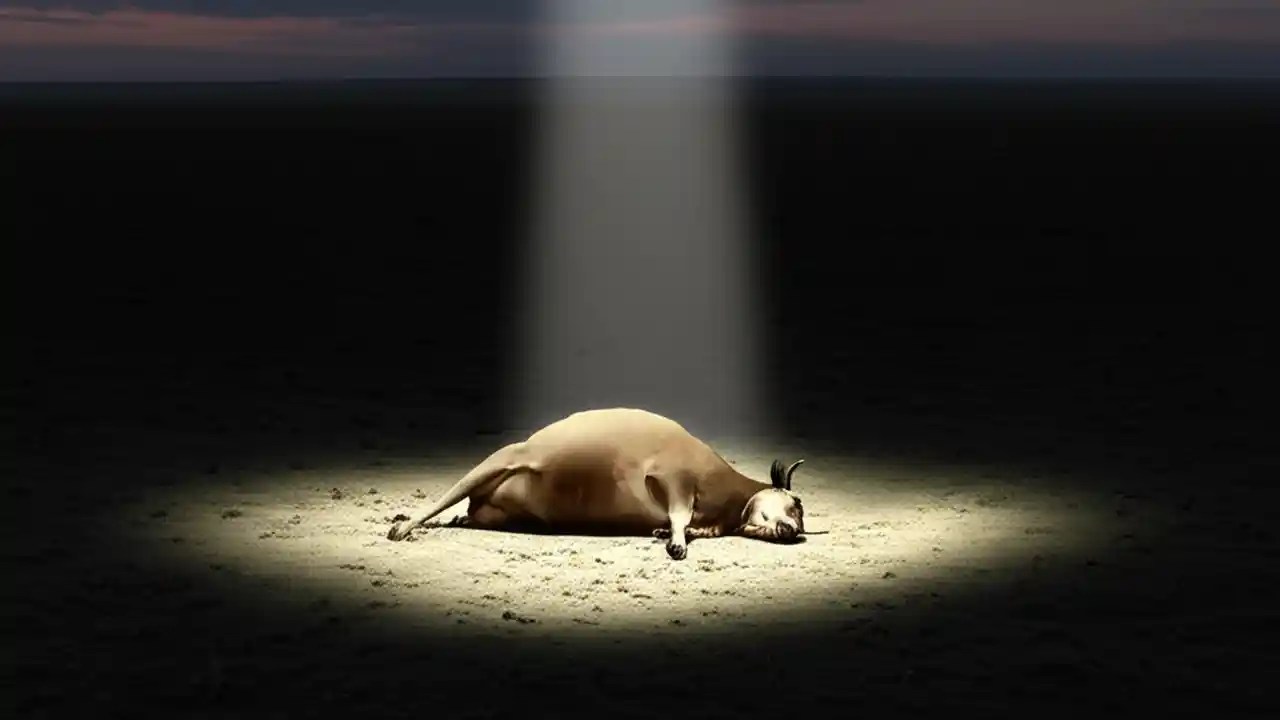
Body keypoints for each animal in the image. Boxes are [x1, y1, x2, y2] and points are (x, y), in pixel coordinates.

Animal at [386, 407, 809, 559]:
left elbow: (688, 525)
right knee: (447, 496)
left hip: (503, 511)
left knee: (472, 516)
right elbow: (680, 511)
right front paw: (674, 540)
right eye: (797, 503)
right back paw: (404, 526)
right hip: (504, 457)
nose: (791, 530)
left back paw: (460, 519)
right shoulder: (675, 477)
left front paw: (667, 534)